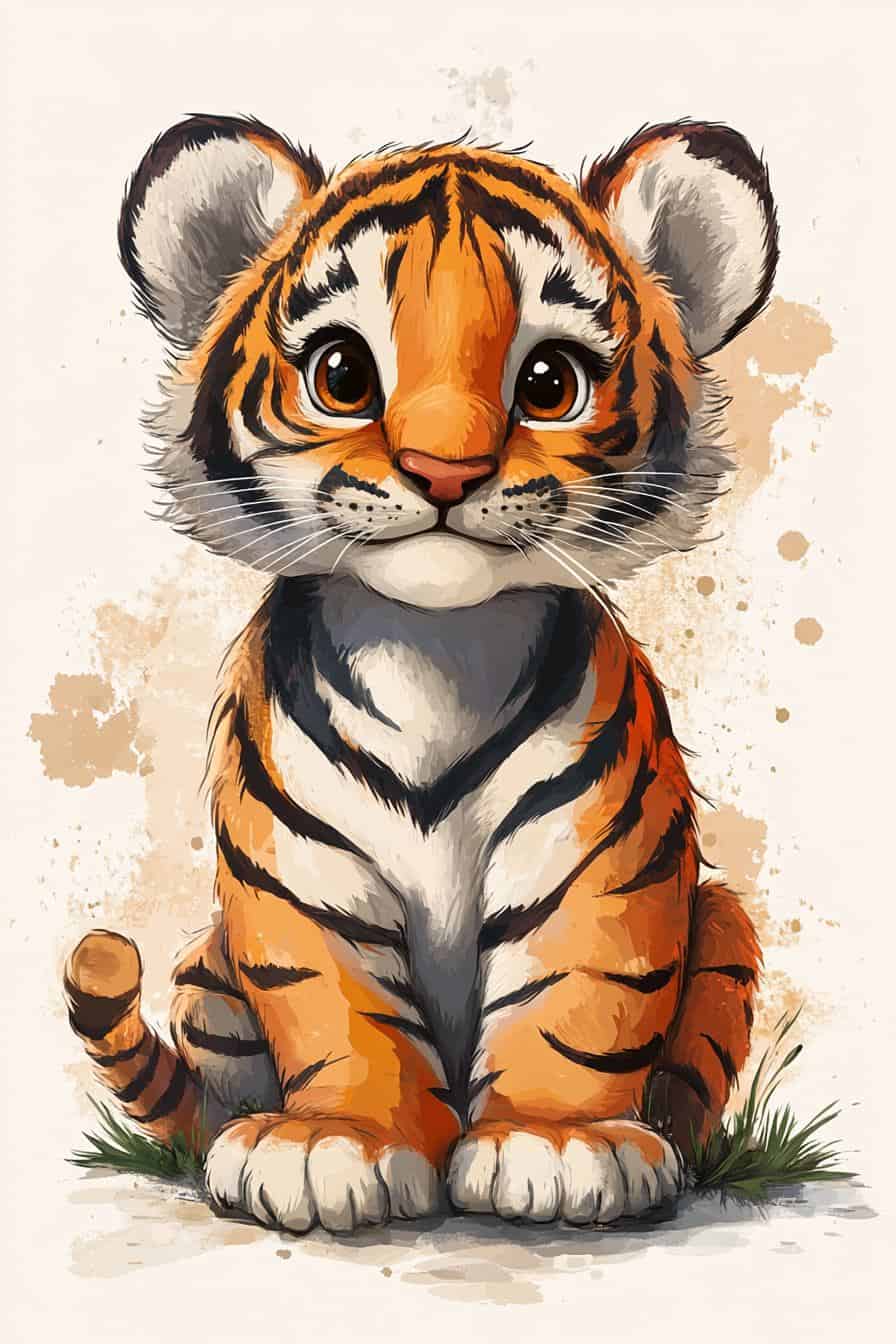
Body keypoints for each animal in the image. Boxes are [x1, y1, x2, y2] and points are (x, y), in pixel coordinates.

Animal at [64, 115, 774, 1234]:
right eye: (343, 374)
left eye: (550, 383)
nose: (445, 472)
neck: (434, 651)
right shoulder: (299, 874)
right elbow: (337, 1006)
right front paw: (331, 1144)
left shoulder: (602, 862)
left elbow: (578, 997)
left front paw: (558, 1143)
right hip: (202, 969)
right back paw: (233, 1127)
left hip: (726, 918)